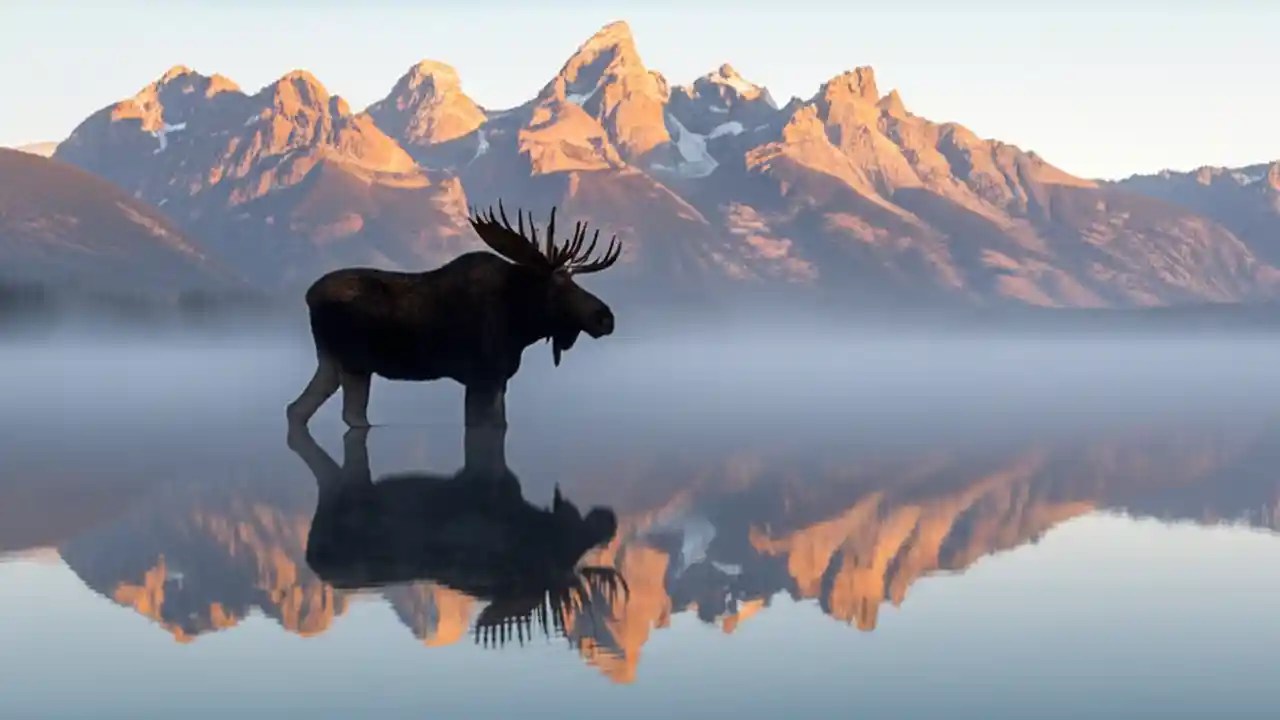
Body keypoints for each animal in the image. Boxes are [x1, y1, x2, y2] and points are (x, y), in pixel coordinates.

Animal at [286, 203, 621, 429]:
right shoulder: (483, 377)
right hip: (355, 364)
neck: (521, 325)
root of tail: (308, 296)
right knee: (350, 415)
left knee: (297, 408)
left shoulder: (497, 380)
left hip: (331, 362)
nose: (605, 317)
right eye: (558, 284)